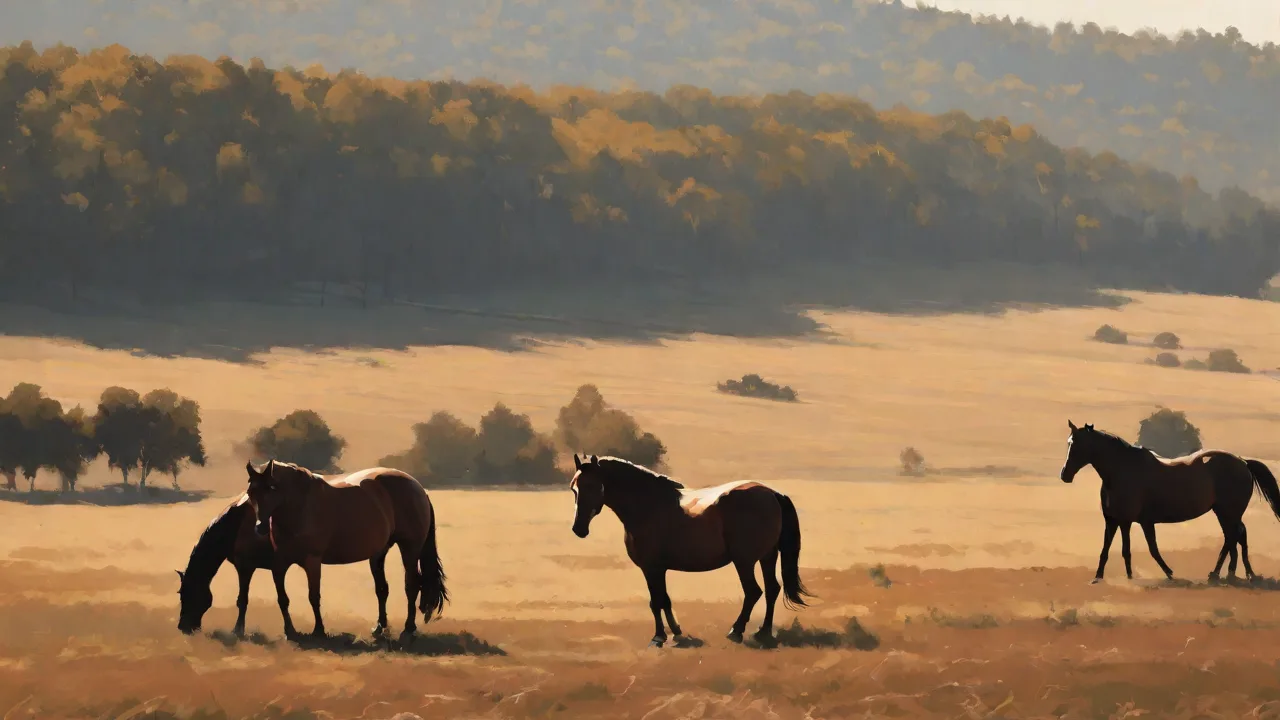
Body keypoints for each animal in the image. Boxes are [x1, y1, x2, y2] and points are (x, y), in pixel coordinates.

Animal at [176, 496, 274, 636]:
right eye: (180, 593)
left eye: (188, 592)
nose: (182, 627)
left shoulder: (245, 568)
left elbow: (242, 601)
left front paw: (238, 631)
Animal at [244, 460, 448, 642]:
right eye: (250, 491)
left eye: (272, 488)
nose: (260, 528)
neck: (300, 506)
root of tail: (418, 487)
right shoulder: (279, 564)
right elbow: (282, 599)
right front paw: (290, 632)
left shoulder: (312, 561)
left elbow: (313, 596)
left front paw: (319, 631)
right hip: (379, 553)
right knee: (382, 589)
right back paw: (379, 628)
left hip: (410, 548)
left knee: (412, 585)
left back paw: (408, 629)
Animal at [569, 454, 813, 648]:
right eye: (574, 488)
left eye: (592, 486)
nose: (578, 529)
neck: (648, 505)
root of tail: (772, 493)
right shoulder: (659, 569)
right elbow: (664, 599)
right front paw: (676, 632)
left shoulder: (651, 568)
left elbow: (655, 601)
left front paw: (658, 637)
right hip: (766, 557)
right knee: (772, 589)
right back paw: (763, 633)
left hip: (744, 561)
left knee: (754, 592)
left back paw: (736, 632)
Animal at [1060, 420, 1280, 584]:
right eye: (1068, 443)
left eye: (1077, 445)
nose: (1065, 475)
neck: (1121, 471)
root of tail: (1243, 462)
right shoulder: (1114, 520)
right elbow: (1108, 549)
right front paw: (1098, 578)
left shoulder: (1127, 521)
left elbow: (1133, 550)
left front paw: (1149, 575)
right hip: (1226, 513)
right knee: (1236, 537)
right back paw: (1233, 574)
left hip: (1227, 513)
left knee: (1232, 537)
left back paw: (1223, 574)